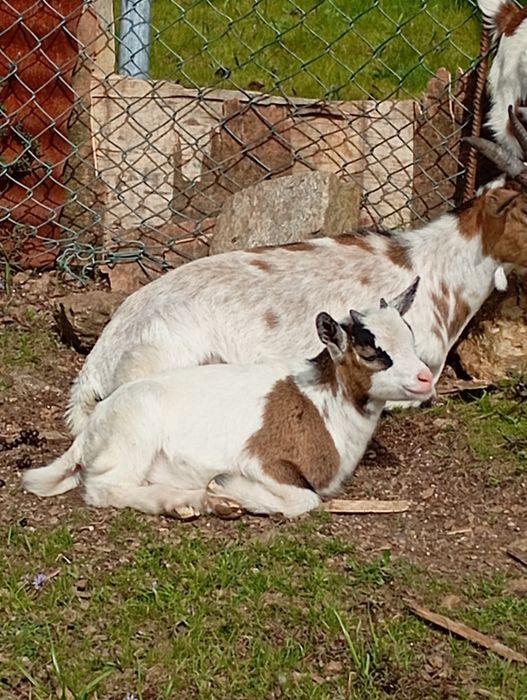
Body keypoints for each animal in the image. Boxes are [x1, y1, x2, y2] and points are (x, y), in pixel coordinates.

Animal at [22, 281, 433, 519]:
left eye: (410, 336)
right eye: (370, 351)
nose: (425, 379)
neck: (320, 404)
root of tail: (89, 432)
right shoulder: (265, 461)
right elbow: (304, 501)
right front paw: (229, 487)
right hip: (135, 434)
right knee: (104, 488)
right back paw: (187, 502)